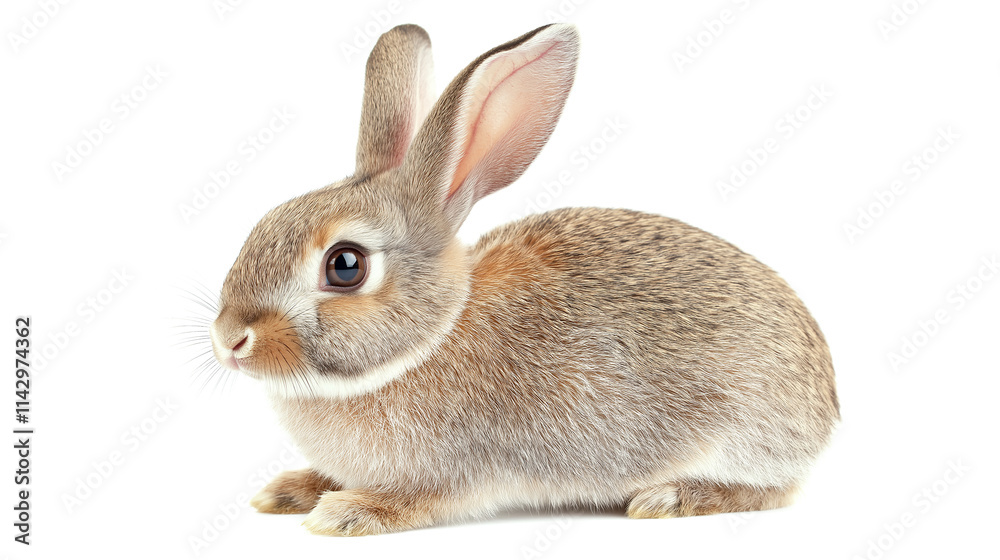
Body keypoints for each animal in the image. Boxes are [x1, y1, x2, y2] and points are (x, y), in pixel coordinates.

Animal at [208, 23, 839, 536]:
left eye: (345, 265)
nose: (229, 340)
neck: (430, 338)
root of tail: (827, 403)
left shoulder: (457, 465)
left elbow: (422, 500)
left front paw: (347, 512)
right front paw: (292, 490)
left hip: (740, 432)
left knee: (775, 491)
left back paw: (671, 498)